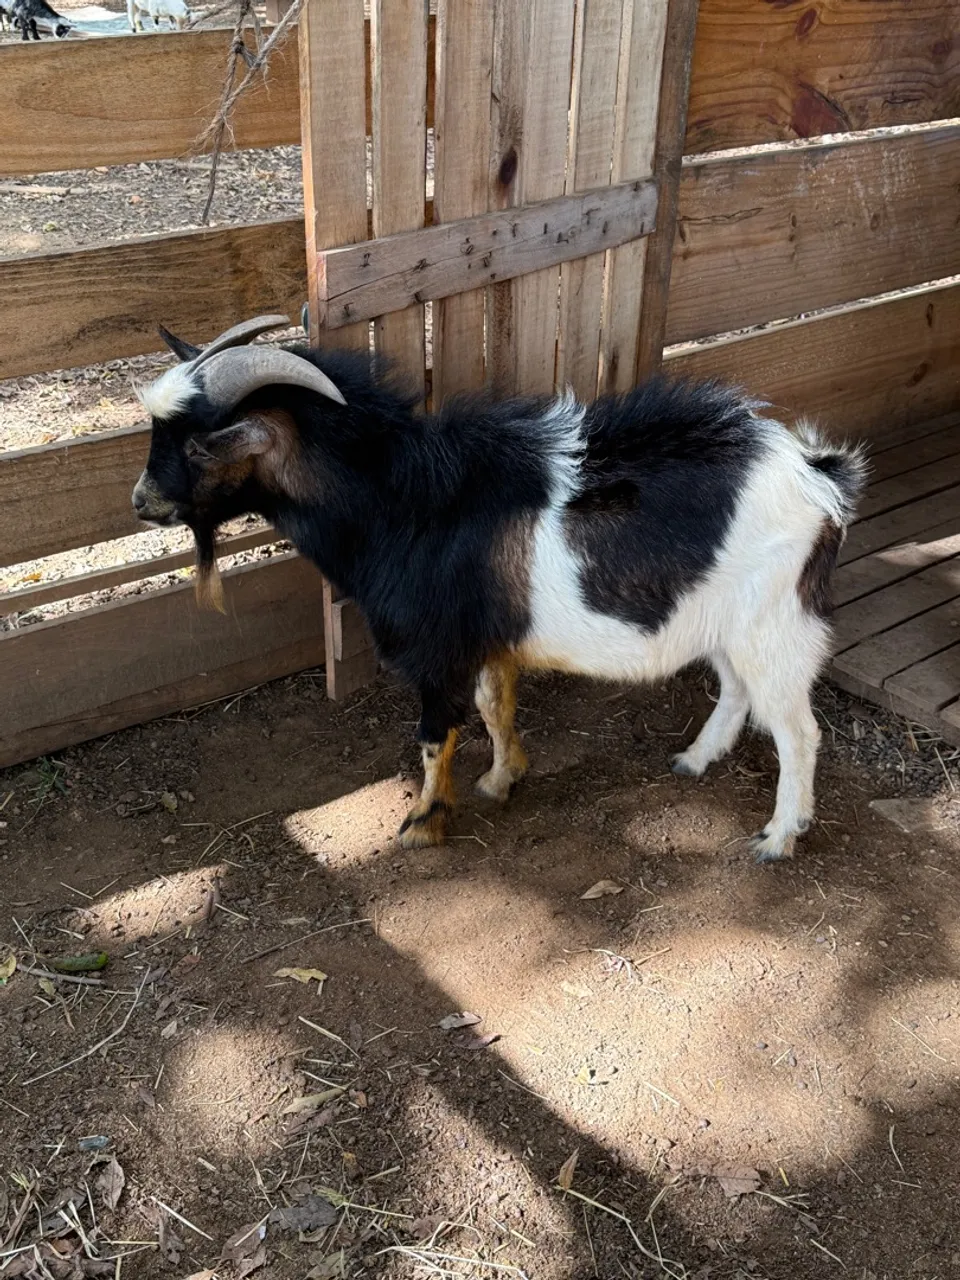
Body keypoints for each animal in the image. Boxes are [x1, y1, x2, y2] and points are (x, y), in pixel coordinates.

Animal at [131, 315, 865, 863]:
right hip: (728, 624)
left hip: (775, 626)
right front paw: (502, 776)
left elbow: (435, 734)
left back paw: (778, 837)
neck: (403, 502)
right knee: (738, 692)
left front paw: (423, 823)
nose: (141, 502)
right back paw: (693, 760)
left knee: (797, 731)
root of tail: (817, 474)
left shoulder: (436, 651)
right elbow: (493, 704)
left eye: (200, 445)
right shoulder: (486, 641)